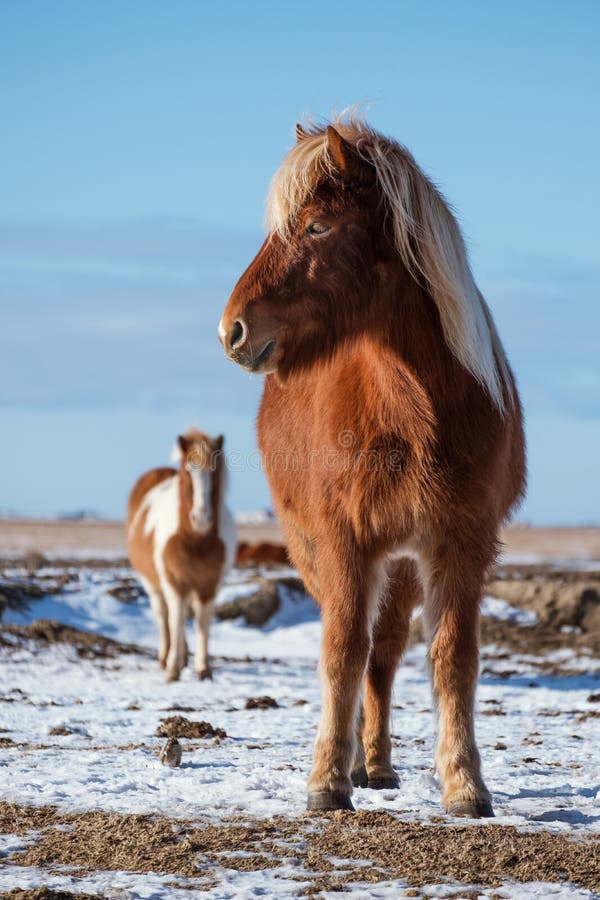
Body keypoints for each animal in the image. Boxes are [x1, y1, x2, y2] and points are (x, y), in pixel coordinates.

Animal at [127, 428, 236, 682]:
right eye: (188, 471)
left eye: (215, 472)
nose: (201, 518)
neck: (196, 540)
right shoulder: (174, 581)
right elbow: (175, 620)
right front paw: (172, 669)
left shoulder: (208, 584)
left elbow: (202, 622)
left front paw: (203, 668)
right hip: (152, 583)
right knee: (163, 616)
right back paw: (165, 656)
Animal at [219, 115, 526, 817]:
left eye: (317, 227)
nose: (232, 331)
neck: (411, 409)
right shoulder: (343, 541)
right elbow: (340, 653)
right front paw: (326, 782)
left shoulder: (460, 542)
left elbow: (451, 658)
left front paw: (464, 784)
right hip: (325, 554)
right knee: (359, 647)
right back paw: (357, 763)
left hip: (403, 564)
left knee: (383, 655)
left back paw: (378, 765)